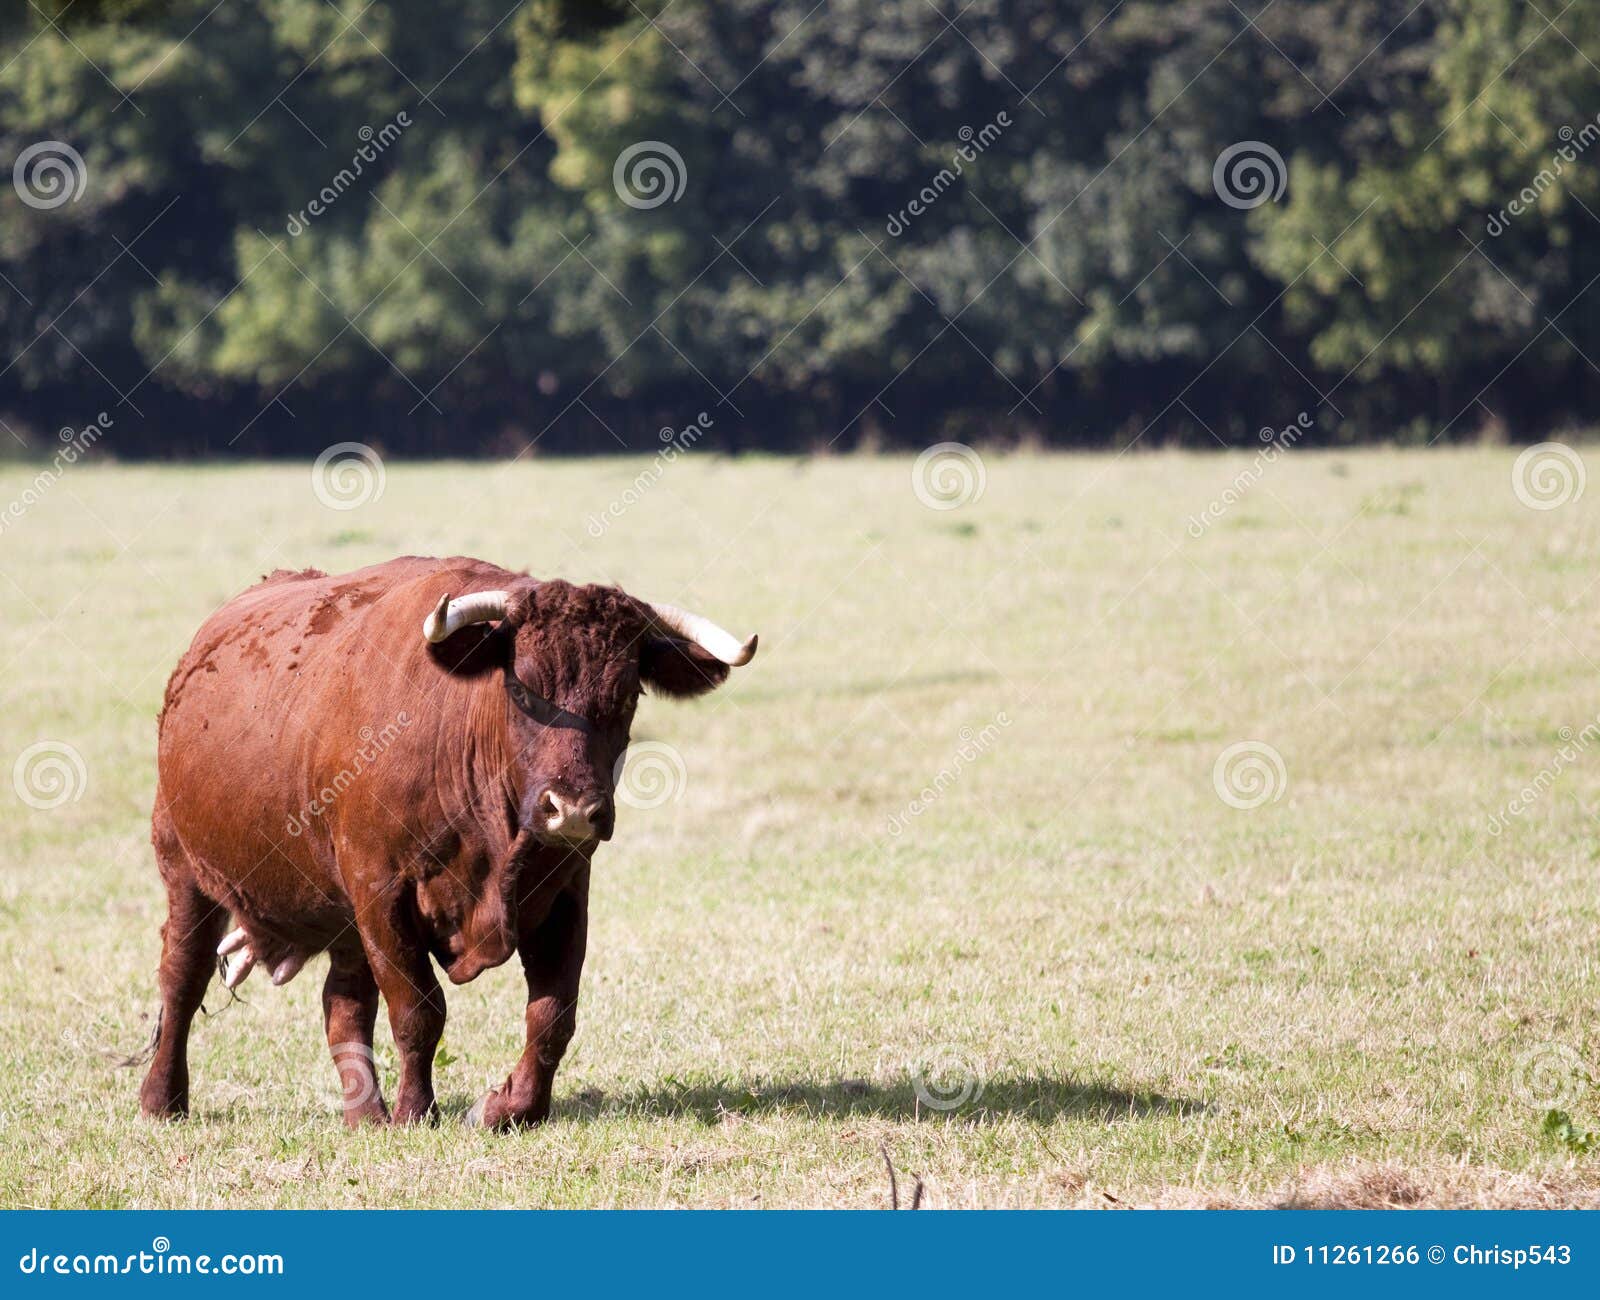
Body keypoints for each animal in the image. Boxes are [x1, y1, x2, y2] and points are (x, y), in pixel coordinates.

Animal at [138, 555, 755, 1128]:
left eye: (626, 697)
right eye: (521, 686)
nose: (574, 809)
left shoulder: (565, 893)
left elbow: (552, 1014)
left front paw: (511, 1108)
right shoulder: (380, 893)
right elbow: (418, 1010)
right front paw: (416, 1110)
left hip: (342, 921)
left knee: (343, 1003)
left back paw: (365, 1115)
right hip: (184, 869)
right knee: (183, 976)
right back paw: (162, 1099)